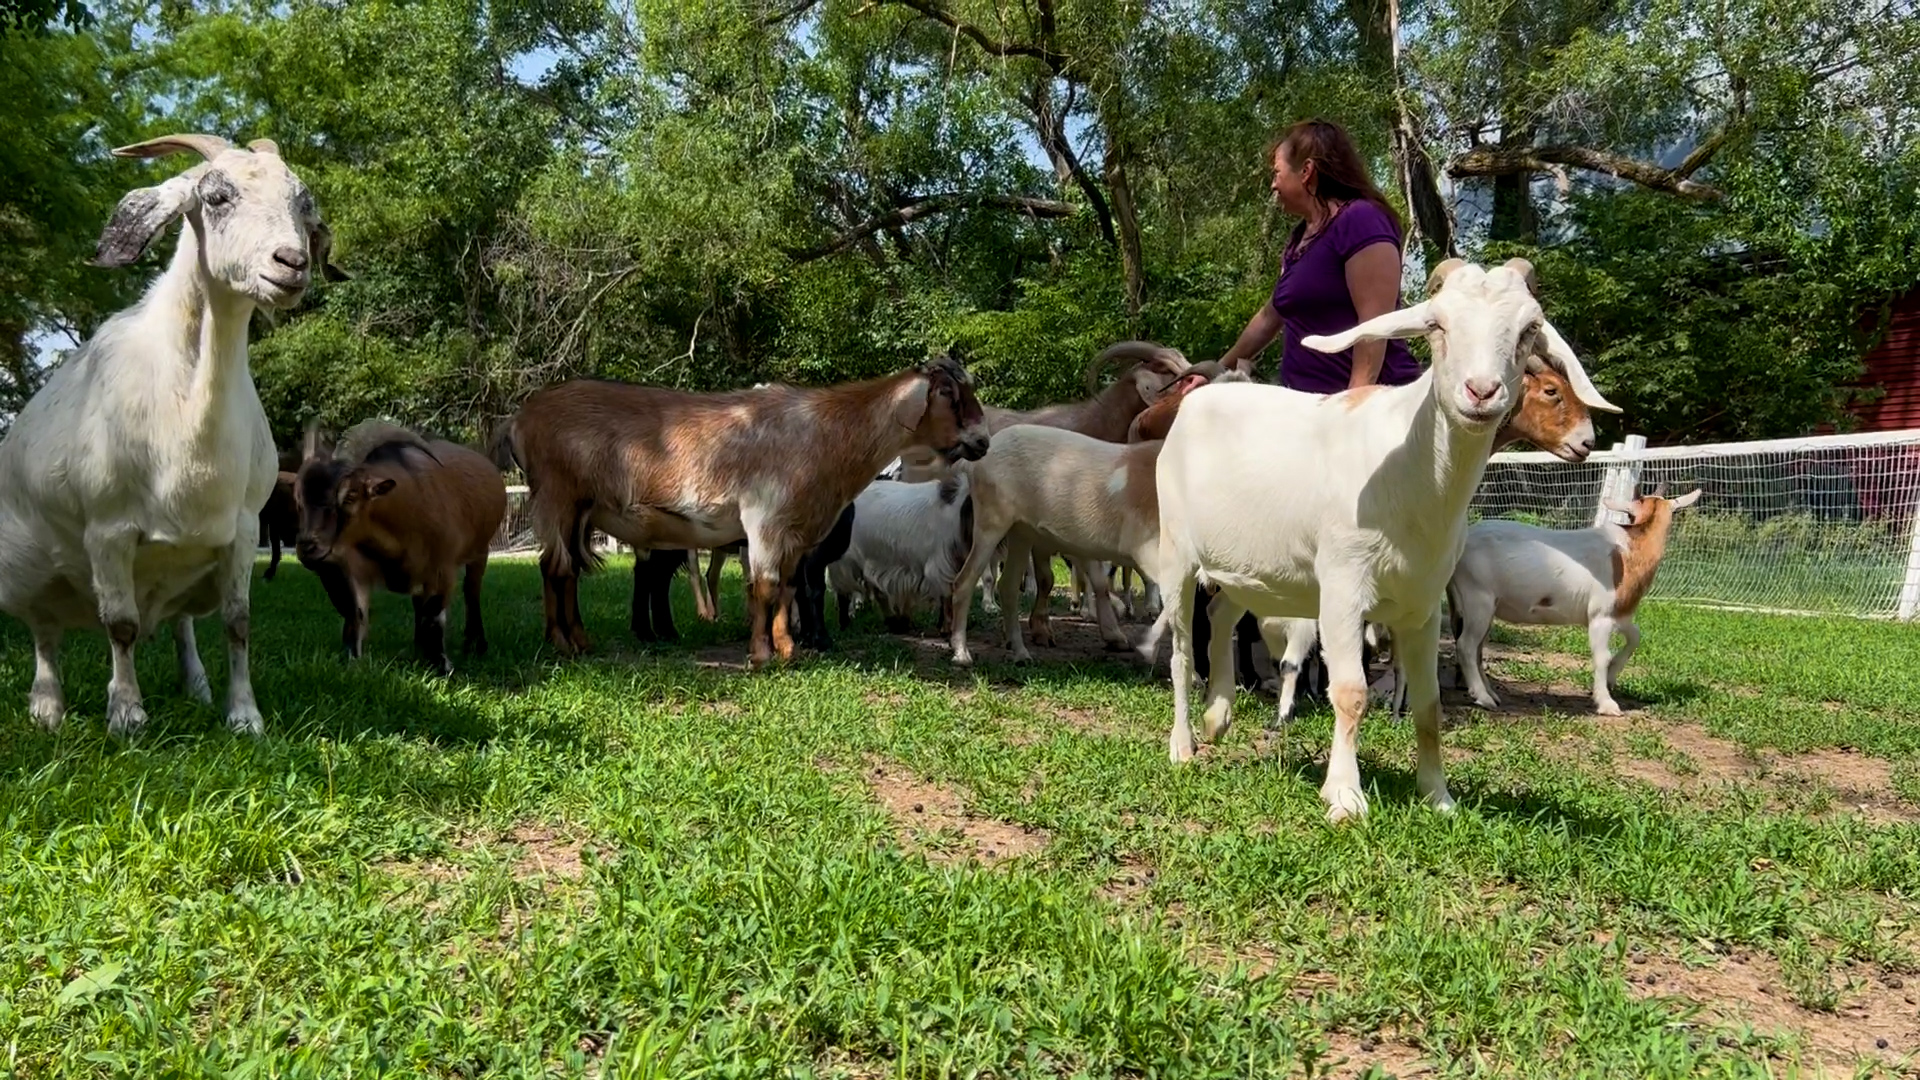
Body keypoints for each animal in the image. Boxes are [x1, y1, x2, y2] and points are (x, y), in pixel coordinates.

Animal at [0, 133, 343, 736]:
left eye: (304, 206)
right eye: (216, 196)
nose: (292, 264)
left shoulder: (242, 528)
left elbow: (238, 622)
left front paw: (244, 715)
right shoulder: (108, 530)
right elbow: (120, 625)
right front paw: (127, 715)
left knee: (179, 620)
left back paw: (195, 685)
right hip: (28, 571)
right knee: (45, 629)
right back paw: (47, 706)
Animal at [293, 420, 508, 675]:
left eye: (350, 496)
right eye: (299, 501)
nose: (307, 547)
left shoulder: (442, 569)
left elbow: (434, 616)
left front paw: (442, 666)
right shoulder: (347, 569)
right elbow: (355, 614)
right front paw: (352, 661)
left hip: (480, 550)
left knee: (471, 591)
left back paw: (475, 644)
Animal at [830, 473, 975, 634]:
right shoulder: (941, 563)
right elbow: (947, 594)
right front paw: (945, 628)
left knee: (877, 591)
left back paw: (897, 622)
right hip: (843, 560)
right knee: (843, 592)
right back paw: (846, 624)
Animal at [1153, 257, 1620, 822]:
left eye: (1530, 329)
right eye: (1437, 325)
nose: (1481, 392)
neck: (1410, 468)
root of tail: (1203, 395)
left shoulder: (1423, 604)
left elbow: (1429, 701)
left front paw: (1439, 797)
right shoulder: (1342, 589)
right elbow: (1350, 691)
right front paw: (1345, 797)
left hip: (1251, 567)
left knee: (1222, 614)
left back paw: (1219, 716)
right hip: (1176, 554)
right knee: (1181, 650)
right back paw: (1182, 745)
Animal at [1447, 482, 1700, 716]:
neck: (1628, 550)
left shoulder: (1619, 613)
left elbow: (1636, 636)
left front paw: (1612, 678)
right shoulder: (1600, 616)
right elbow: (1602, 656)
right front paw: (1607, 704)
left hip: (1485, 605)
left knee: (1477, 648)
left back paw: (1491, 694)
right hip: (1477, 596)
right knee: (1467, 645)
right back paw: (1483, 698)